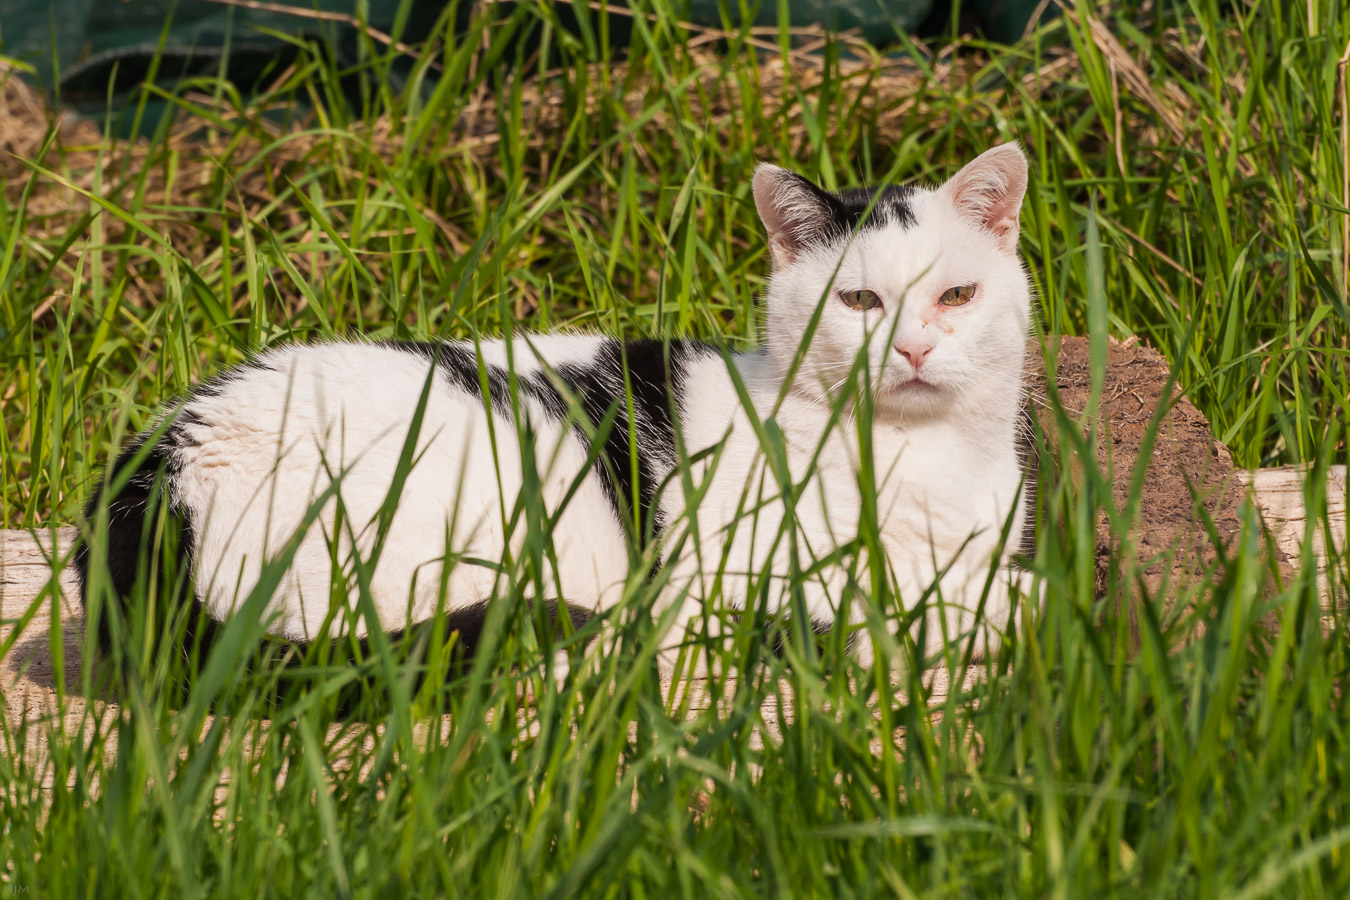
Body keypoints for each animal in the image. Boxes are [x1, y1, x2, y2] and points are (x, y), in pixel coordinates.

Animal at [76, 142, 1031, 674]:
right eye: (861, 302)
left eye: (956, 295)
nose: (913, 349)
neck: (925, 456)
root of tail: (159, 462)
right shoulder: (748, 577)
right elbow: (936, 603)